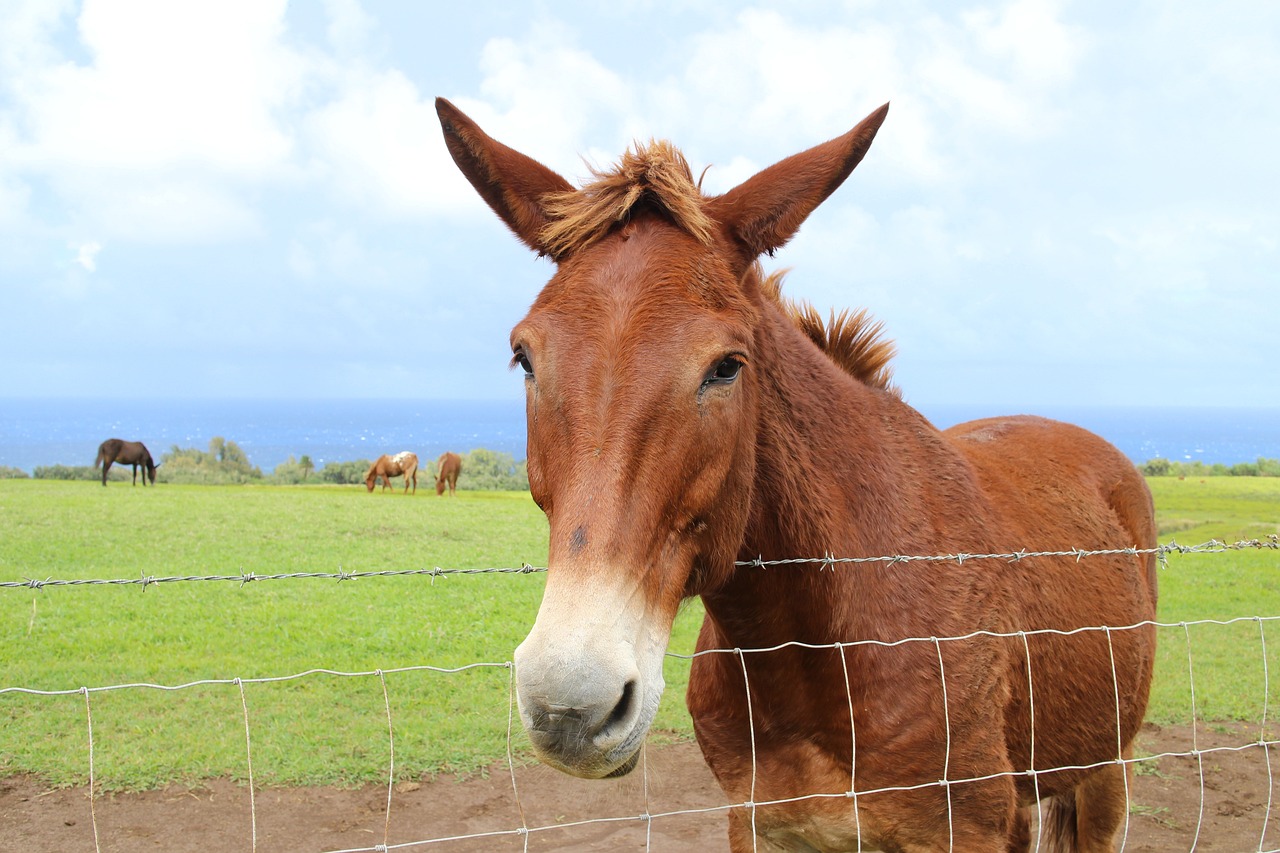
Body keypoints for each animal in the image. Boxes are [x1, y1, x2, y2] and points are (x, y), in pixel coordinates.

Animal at [436, 99, 1158, 851]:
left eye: (727, 366)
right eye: (525, 357)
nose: (571, 707)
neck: (816, 653)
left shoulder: (971, 828)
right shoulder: (761, 821)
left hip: (1106, 770)